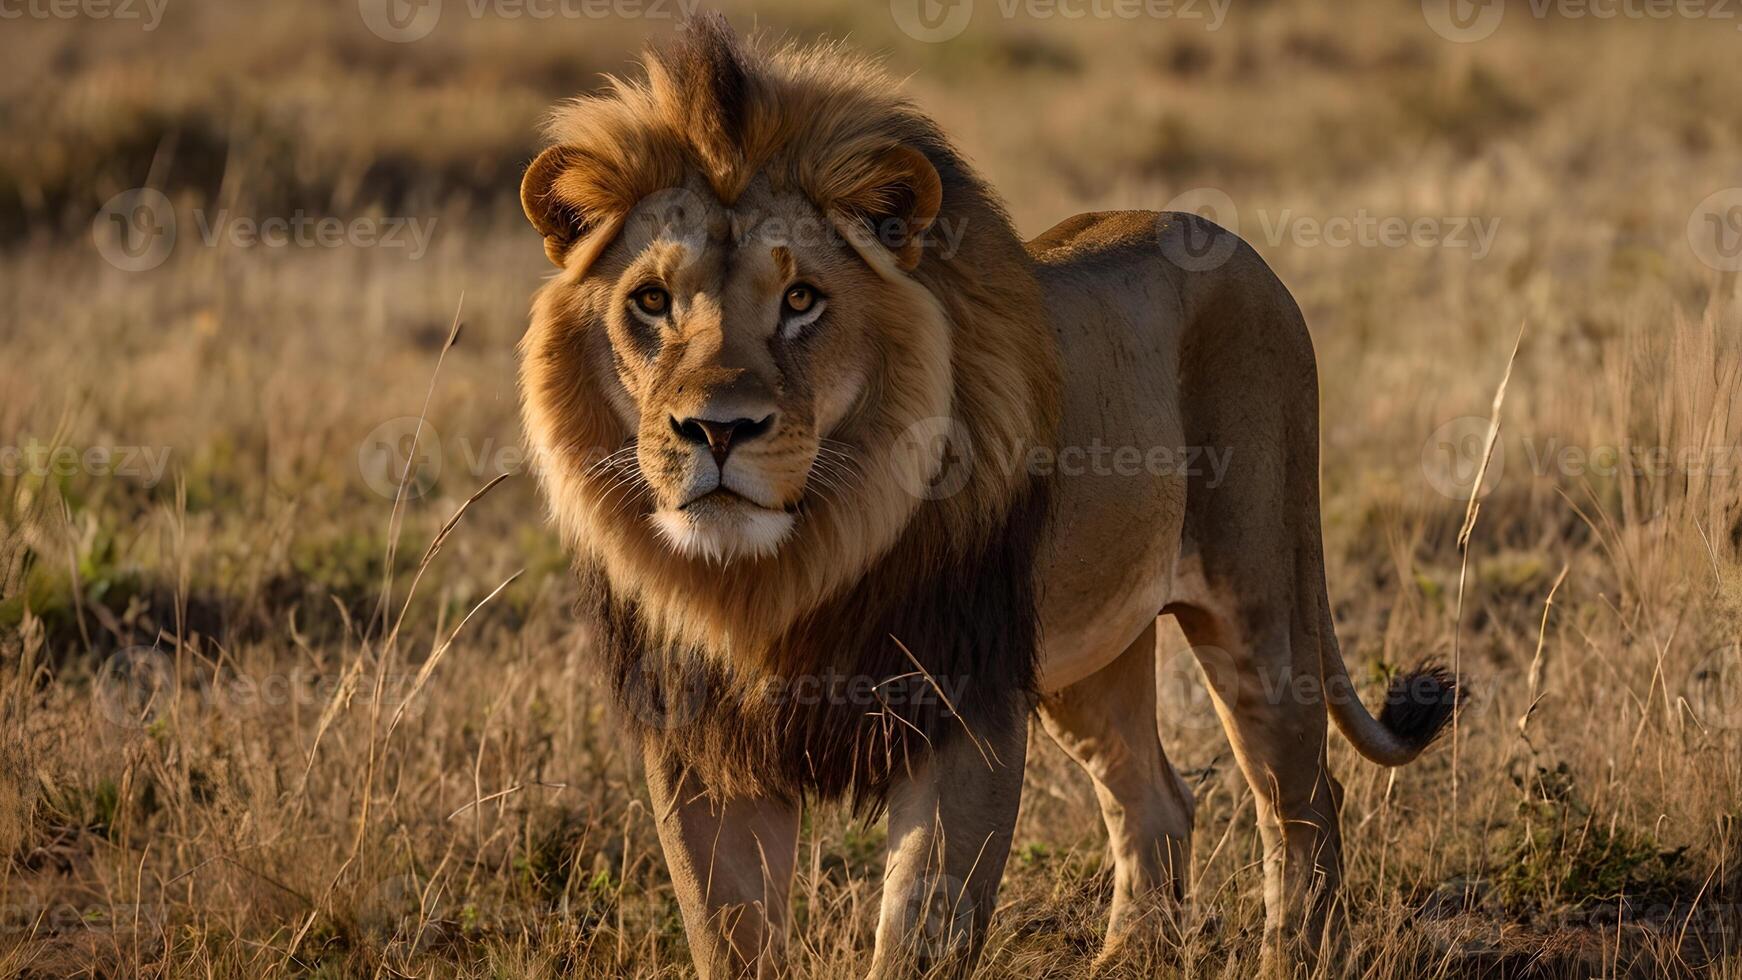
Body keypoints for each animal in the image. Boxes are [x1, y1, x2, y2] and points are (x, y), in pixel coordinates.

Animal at [517, 16, 1458, 978]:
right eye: (651, 302)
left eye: (801, 298)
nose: (716, 430)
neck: (780, 570)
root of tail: (1230, 245)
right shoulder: (698, 745)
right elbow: (731, 936)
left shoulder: (964, 711)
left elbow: (919, 930)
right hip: (1086, 652)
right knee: (1155, 797)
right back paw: (1125, 958)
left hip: (1258, 601)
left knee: (1303, 797)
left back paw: (1296, 952)